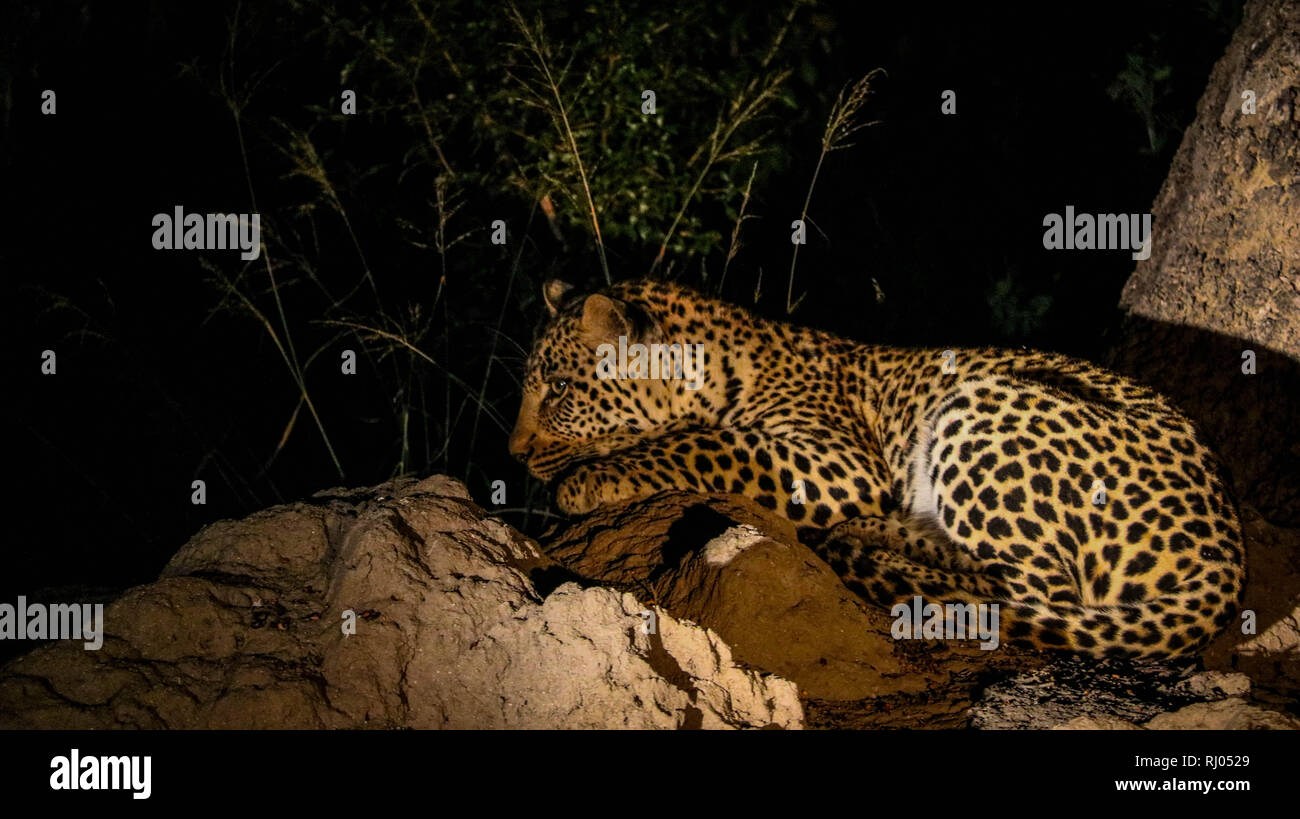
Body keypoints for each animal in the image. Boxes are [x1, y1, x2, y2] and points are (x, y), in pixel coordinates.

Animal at [508, 277, 1245, 659]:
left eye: (561, 390)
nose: (513, 453)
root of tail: (1227, 556)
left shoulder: (835, 460)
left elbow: (709, 443)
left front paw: (589, 482)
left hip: (982, 405)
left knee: (1035, 595)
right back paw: (877, 539)